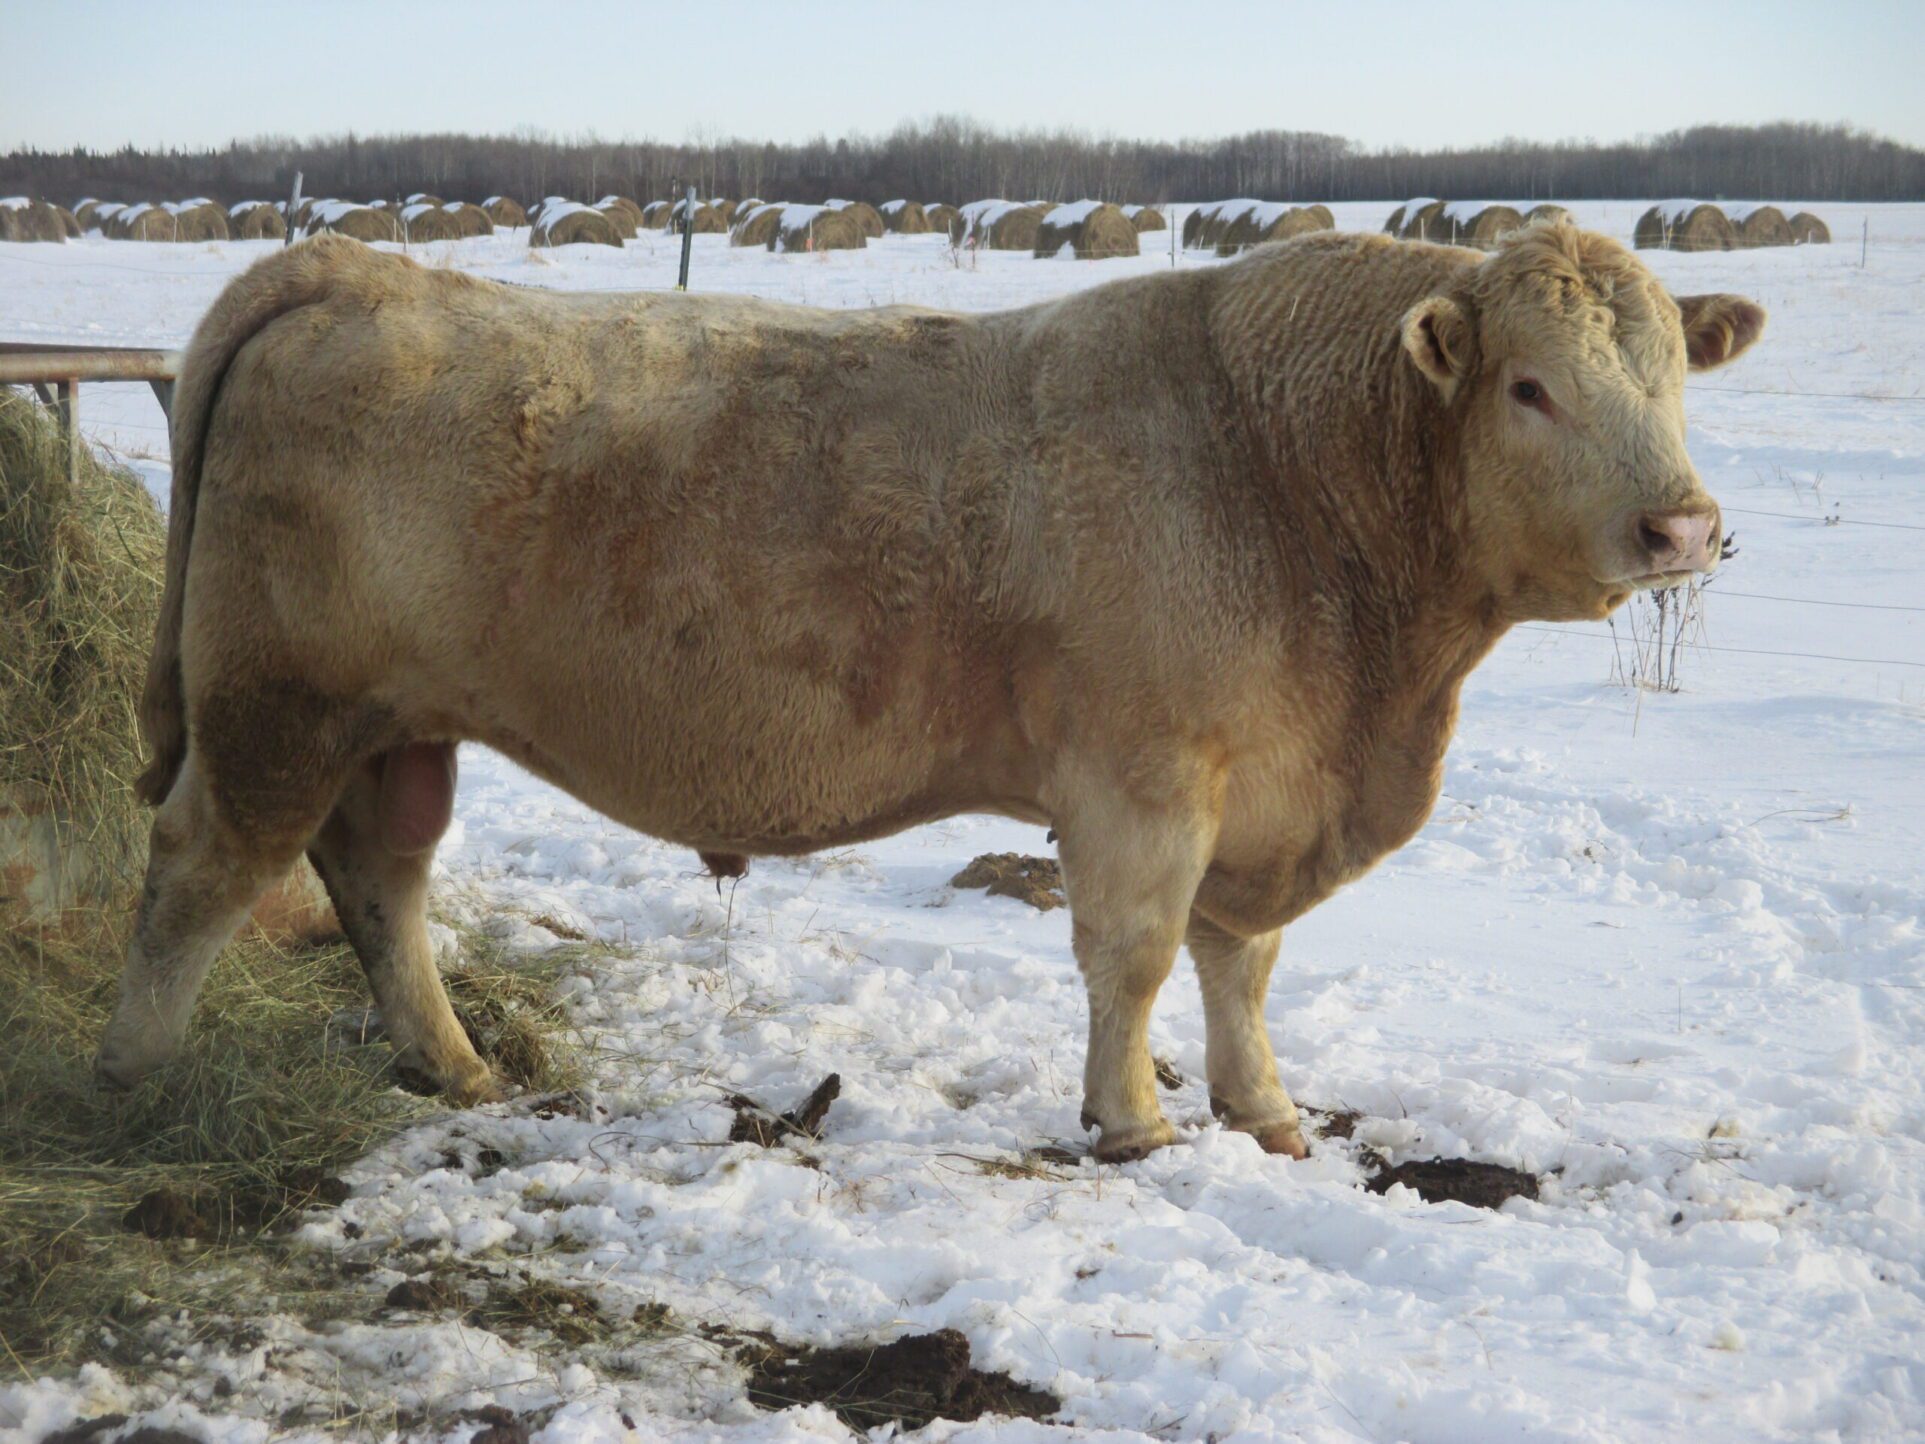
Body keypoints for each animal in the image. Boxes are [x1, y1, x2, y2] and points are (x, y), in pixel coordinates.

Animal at [96, 224, 1762, 1163]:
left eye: (1676, 373)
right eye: (1530, 387)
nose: (1682, 527)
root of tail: (360, 269)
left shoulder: (1268, 783)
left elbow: (1243, 962)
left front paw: (1266, 1112)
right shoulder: (1149, 778)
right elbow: (1137, 956)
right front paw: (1132, 1122)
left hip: (399, 726)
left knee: (380, 877)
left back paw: (453, 1067)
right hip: (276, 707)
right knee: (199, 870)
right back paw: (140, 1081)